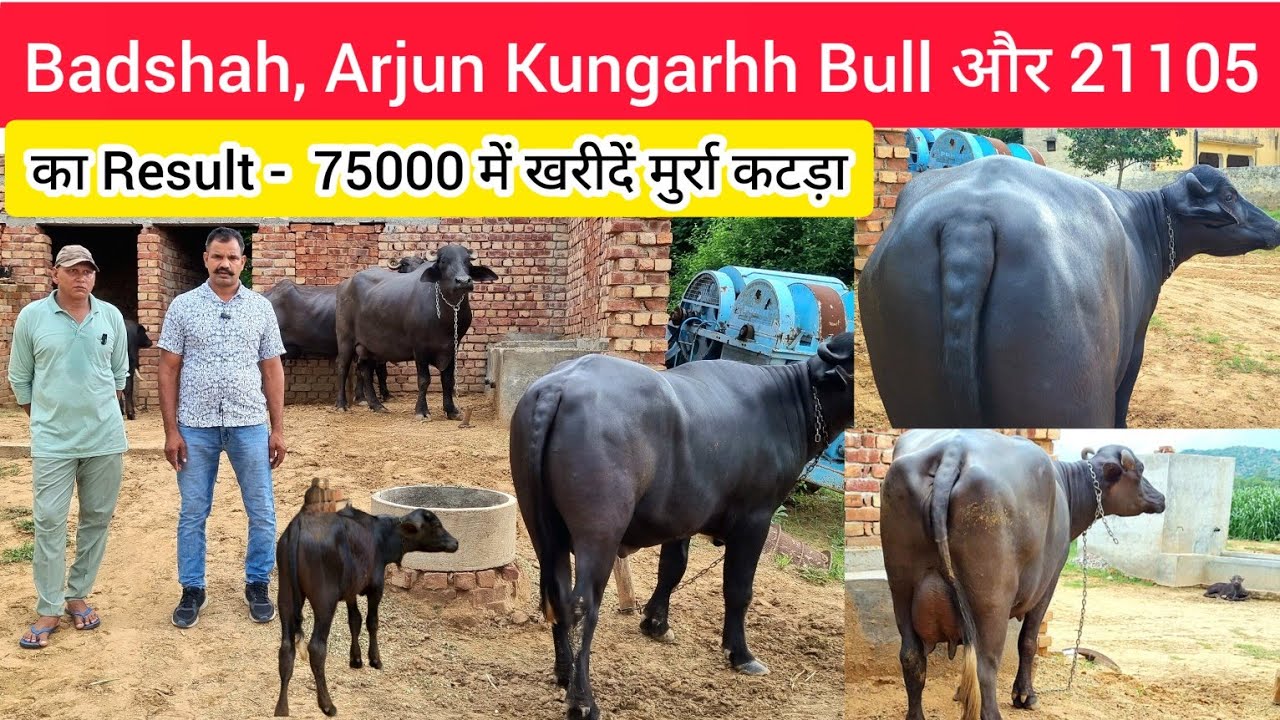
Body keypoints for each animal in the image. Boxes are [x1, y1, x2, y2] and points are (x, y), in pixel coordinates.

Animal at [273, 502, 459, 717]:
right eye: (436, 525)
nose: (456, 543)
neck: (382, 535)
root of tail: (298, 525)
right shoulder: (376, 587)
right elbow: (372, 622)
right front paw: (374, 659)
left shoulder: (351, 591)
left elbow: (355, 620)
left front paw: (356, 659)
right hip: (324, 602)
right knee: (317, 648)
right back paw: (327, 704)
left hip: (286, 598)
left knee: (286, 648)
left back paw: (282, 708)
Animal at [334, 244, 499, 420]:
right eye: (443, 261)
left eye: (467, 261)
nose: (463, 281)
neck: (447, 314)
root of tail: (345, 285)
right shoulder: (420, 348)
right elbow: (424, 380)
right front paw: (422, 411)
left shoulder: (452, 347)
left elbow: (448, 380)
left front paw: (452, 410)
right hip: (345, 340)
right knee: (343, 368)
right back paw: (341, 404)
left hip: (370, 347)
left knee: (365, 370)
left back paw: (377, 405)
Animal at [509, 332, 853, 720]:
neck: (787, 403)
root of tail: (559, 386)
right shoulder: (756, 519)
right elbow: (738, 590)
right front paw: (741, 654)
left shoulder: (683, 519)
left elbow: (672, 569)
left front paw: (656, 624)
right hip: (598, 534)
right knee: (583, 605)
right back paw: (583, 700)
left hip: (542, 528)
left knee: (556, 594)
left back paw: (564, 673)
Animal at [858, 157, 1280, 429]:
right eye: (1229, 195)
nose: (1275, 226)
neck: (1147, 224)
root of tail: (969, 222)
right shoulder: (1135, 347)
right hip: (1069, 391)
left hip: (906, 388)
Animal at [880, 429, 1166, 720]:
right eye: (1140, 469)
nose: (1161, 498)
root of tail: (953, 451)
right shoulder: (1049, 583)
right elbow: (1028, 640)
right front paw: (1025, 695)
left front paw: (960, 693)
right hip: (991, 600)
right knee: (985, 664)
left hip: (901, 589)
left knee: (912, 657)